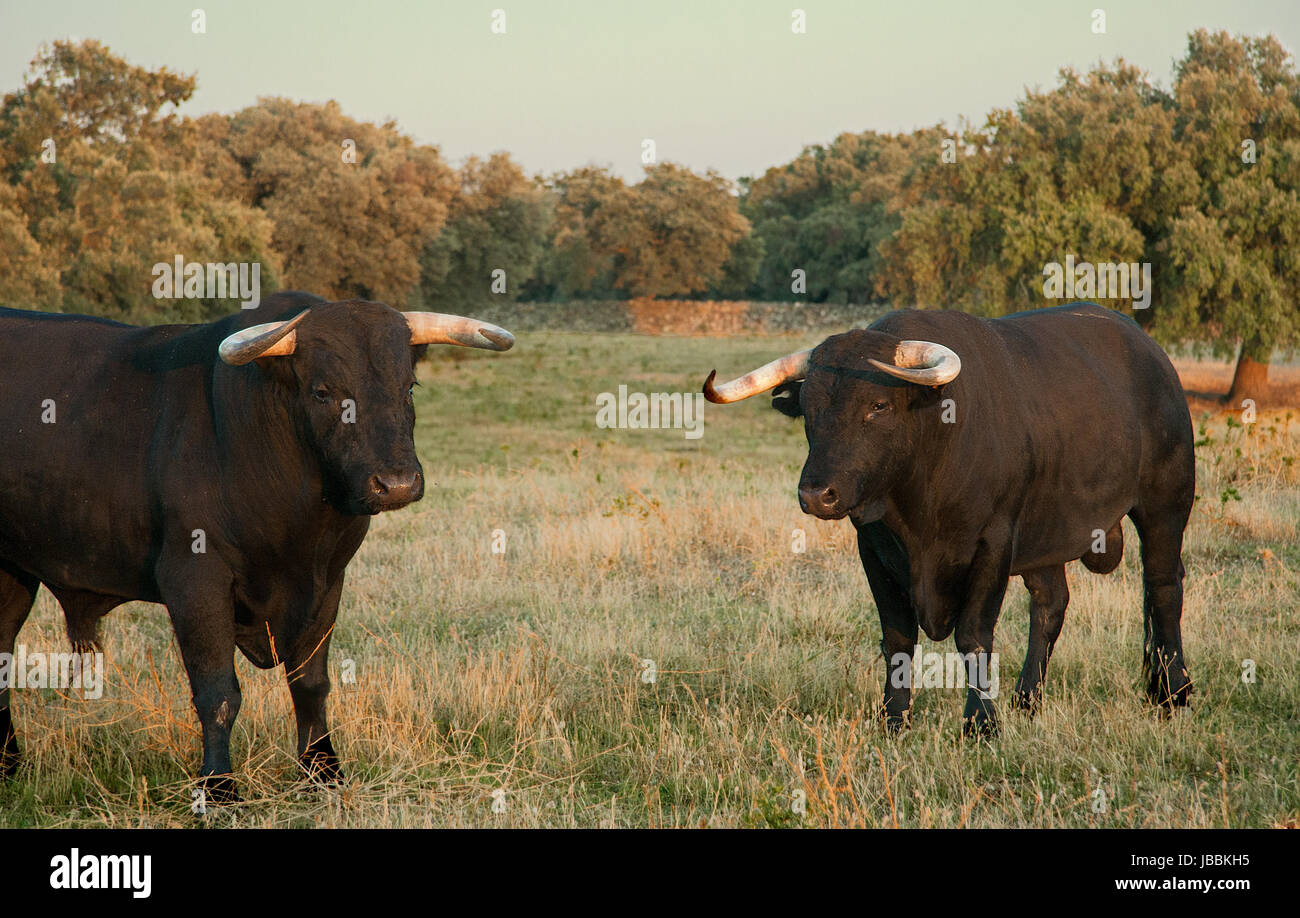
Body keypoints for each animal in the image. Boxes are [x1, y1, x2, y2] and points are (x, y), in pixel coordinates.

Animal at [0, 291, 514, 800]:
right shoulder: (194, 580)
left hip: (14, 576)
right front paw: (218, 789)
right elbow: (218, 693)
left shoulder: (328, 582)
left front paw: (324, 772)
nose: (397, 484)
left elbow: (310, 683)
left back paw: (10, 765)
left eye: (408, 387)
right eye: (323, 392)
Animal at [703, 302, 1195, 735]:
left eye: (878, 405)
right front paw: (893, 721)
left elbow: (973, 635)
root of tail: (1149, 351)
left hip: (1166, 504)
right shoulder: (874, 549)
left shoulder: (993, 543)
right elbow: (898, 638)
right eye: (808, 408)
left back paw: (1173, 693)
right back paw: (1027, 701)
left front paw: (981, 724)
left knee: (1163, 586)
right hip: (1045, 534)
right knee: (1051, 602)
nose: (816, 495)